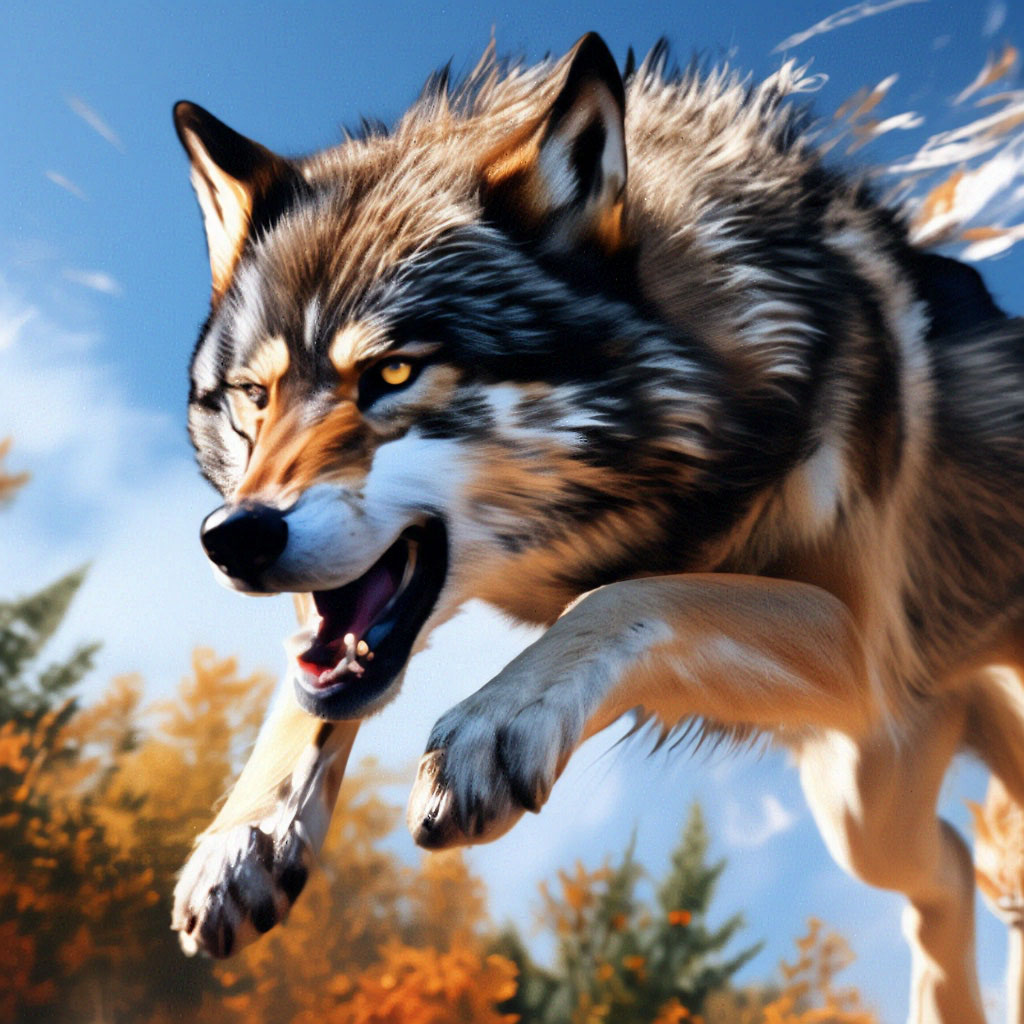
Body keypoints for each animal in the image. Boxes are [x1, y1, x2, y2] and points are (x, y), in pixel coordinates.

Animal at [169, 33, 1023, 1022]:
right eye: (255, 398)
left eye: (392, 373)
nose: (234, 537)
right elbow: (308, 677)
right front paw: (244, 833)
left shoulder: (864, 645)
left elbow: (629, 597)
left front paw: (493, 725)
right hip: (861, 799)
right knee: (953, 868)